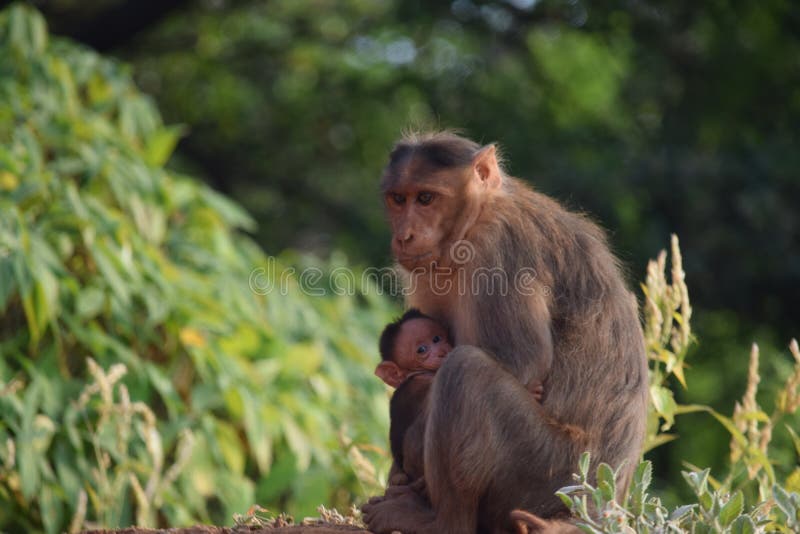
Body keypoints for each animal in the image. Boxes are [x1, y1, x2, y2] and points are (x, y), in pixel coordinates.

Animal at [361, 132, 648, 534]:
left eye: (426, 198)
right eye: (399, 199)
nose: (405, 235)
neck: (476, 217)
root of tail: (597, 508)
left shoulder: (498, 252)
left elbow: (522, 364)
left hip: (547, 474)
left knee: (466, 370)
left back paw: (442, 520)